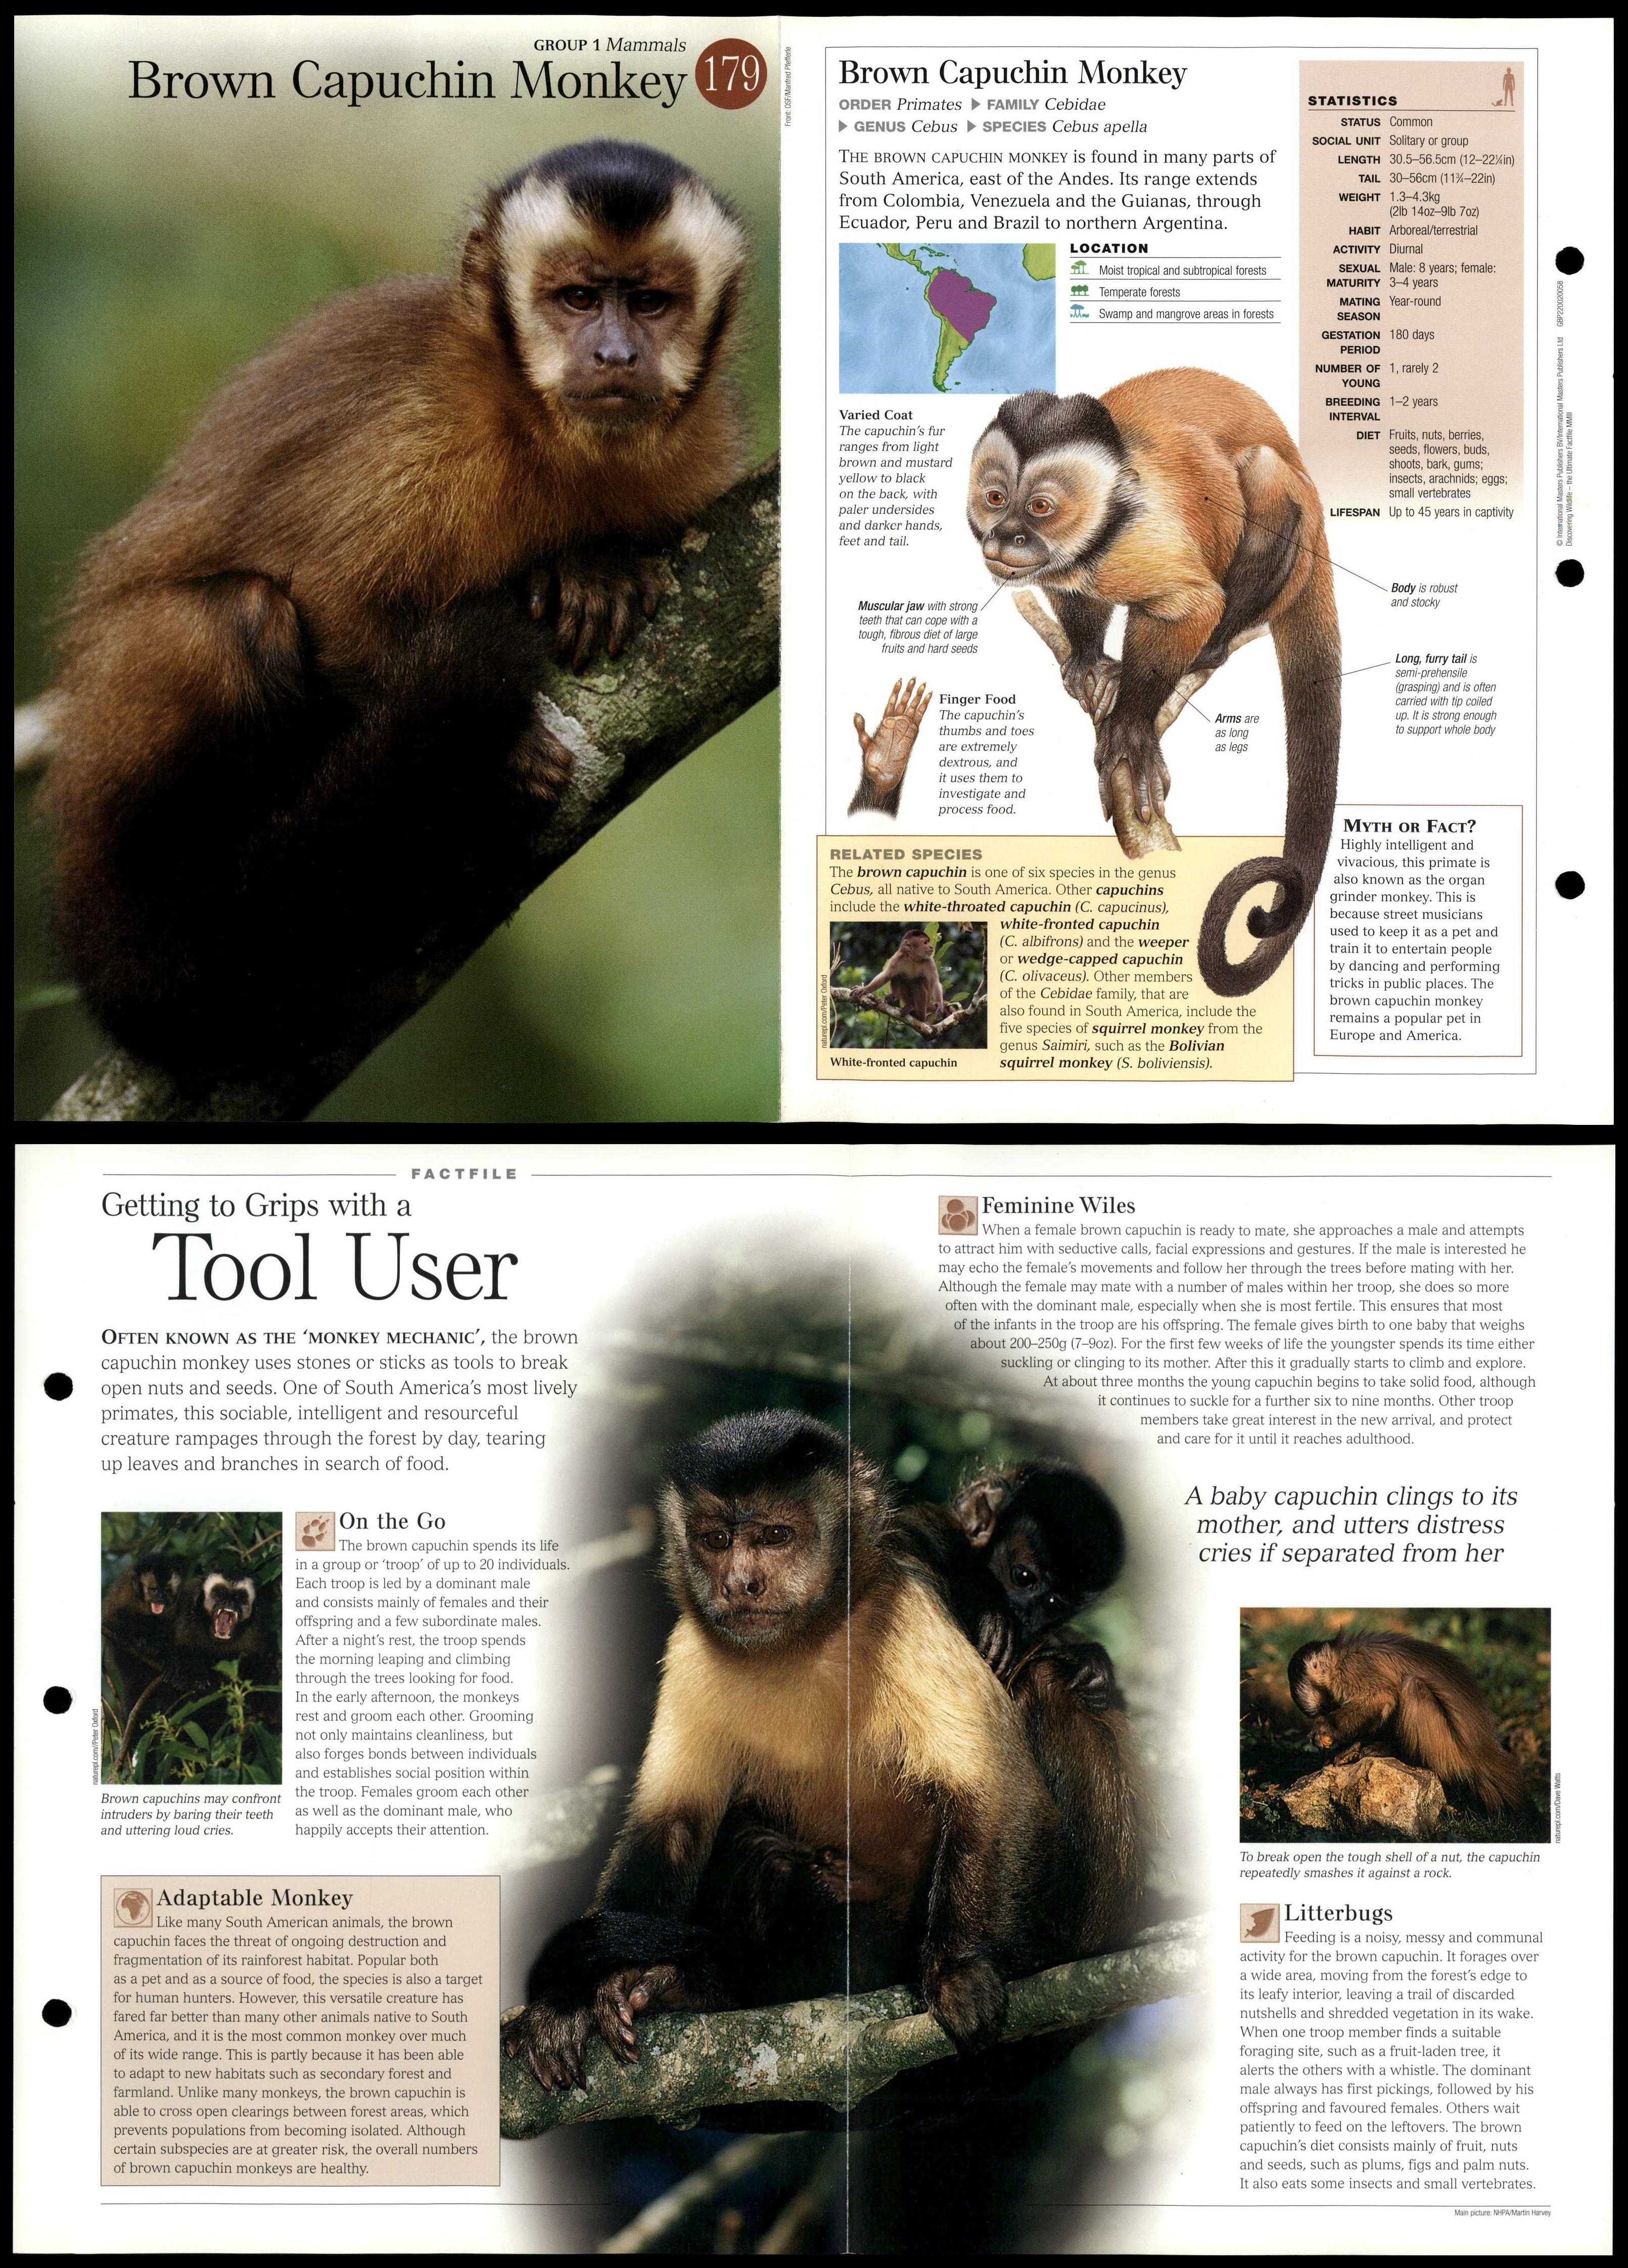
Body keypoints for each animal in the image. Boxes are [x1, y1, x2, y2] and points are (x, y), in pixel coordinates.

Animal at [42, 138, 751, 1084]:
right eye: (575, 298)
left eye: (649, 302)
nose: (612, 352)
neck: (539, 429)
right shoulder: (419, 425)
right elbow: (333, 600)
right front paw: (503, 751)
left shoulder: (702, 450)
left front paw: (587, 569)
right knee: (236, 621)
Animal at [504, 1412, 1149, 2112]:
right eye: (715, 1539)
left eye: (775, 1536)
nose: (740, 1584)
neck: (803, 1641)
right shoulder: (691, 1645)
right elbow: (671, 1826)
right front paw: (563, 2005)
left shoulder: (902, 1609)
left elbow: (995, 1784)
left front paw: (958, 1970)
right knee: (759, 1851)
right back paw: (698, 1985)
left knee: (1048, 1684)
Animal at [854, 927, 947, 1024]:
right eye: (925, 943)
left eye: (928, 942)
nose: (931, 947)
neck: (913, 958)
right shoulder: (897, 958)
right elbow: (886, 976)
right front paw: (865, 989)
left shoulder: (929, 960)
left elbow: (934, 982)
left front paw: (939, 1004)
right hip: (906, 1000)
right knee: (898, 976)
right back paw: (894, 1001)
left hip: (927, 999)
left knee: (917, 982)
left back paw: (919, 1016)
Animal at [967, 370, 1340, 997]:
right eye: (995, 499)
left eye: (1040, 507)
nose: (1006, 537)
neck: (1100, 530)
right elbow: (1072, 593)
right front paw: (1088, 664)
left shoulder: (1137, 539)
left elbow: (1187, 606)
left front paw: (1132, 729)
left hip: (1294, 545)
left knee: (1263, 470)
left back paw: (1215, 644)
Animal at [1288, 1630, 1523, 1815]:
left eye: (1326, 1709)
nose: (1327, 1714)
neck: (1339, 1658)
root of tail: (1481, 1751)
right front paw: (1350, 1747)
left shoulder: (1353, 1670)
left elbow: (1381, 1698)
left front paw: (1328, 1729)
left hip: (1448, 1749)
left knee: (1412, 1687)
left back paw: (1399, 1753)